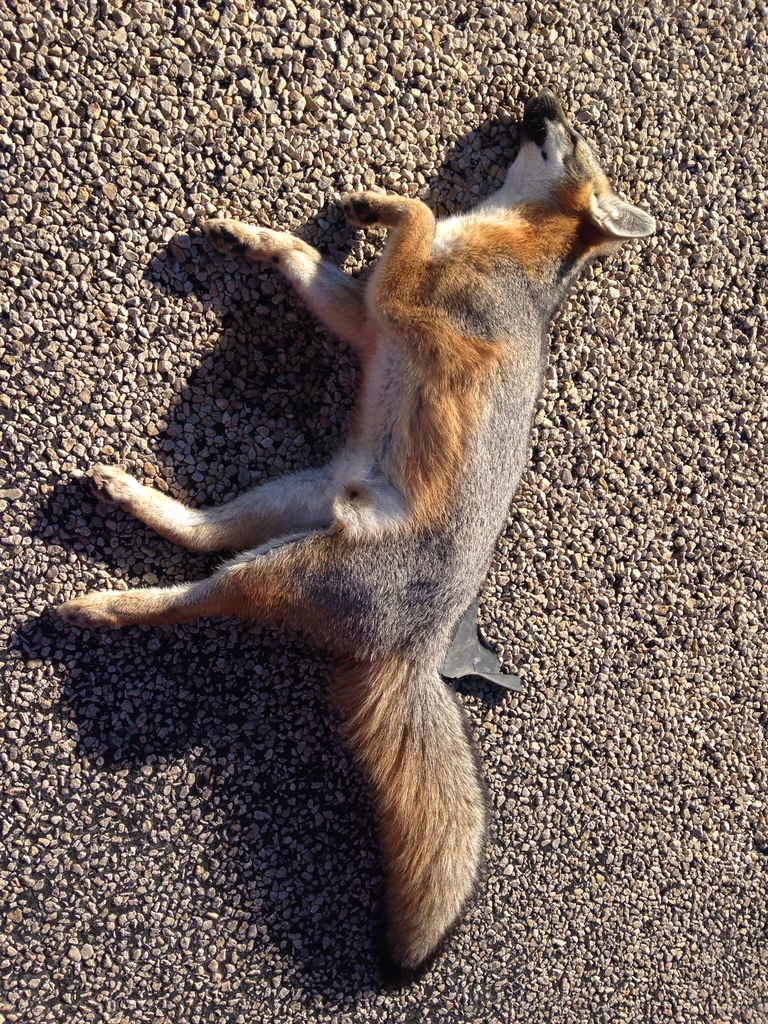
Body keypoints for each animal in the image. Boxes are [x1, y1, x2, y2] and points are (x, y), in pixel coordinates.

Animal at [57, 89, 655, 972]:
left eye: (570, 134)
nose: (538, 94)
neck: (509, 246)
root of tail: (423, 644)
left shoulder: (398, 306)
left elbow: (414, 213)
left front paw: (377, 203)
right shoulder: (367, 318)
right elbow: (309, 260)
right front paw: (259, 236)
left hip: (274, 566)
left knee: (193, 596)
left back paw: (101, 607)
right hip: (287, 498)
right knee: (200, 535)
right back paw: (129, 496)